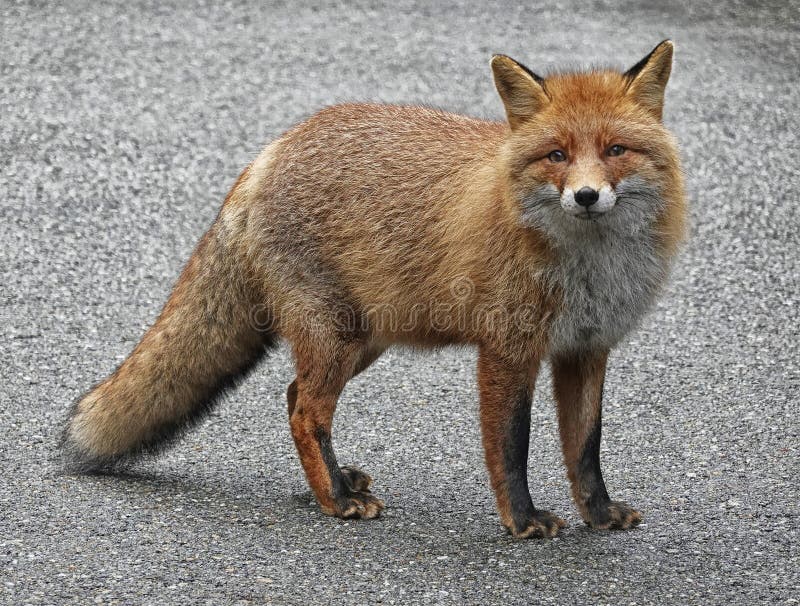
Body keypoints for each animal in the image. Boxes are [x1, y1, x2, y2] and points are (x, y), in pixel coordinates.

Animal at [62, 40, 686, 539]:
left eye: (615, 150)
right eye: (556, 155)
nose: (586, 196)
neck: (589, 269)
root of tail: (271, 151)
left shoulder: (587, 348)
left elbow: (585, 449)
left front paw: (599, 515)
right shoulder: (507, 350)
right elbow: (511, 449)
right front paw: (523, 520)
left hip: (363, 341)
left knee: (292, 395)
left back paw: (332, 482)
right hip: (337, 337)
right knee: (306, 412)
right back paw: (336, 501)